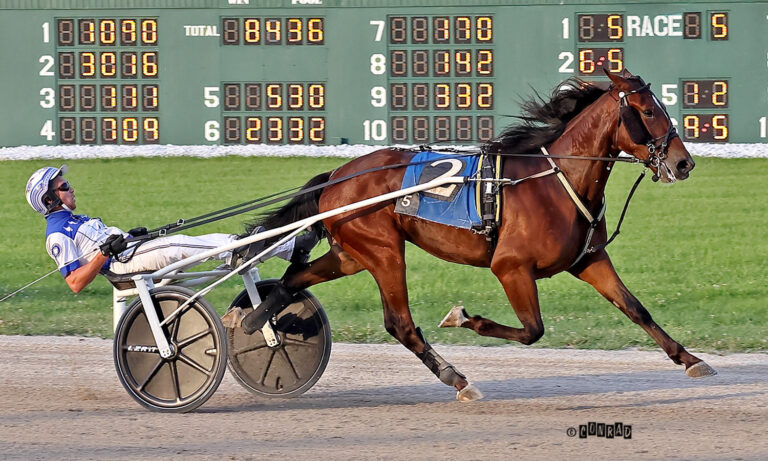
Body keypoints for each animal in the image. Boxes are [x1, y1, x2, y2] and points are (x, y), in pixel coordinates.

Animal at [245, 69, 716, 401]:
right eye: (649, 112)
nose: (684, 163)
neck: (556, 180)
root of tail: (337, 176)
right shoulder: (510, 267)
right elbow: (532, 330)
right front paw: (463, 317)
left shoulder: (588, 260)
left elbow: (636, 309)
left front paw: (691, 359)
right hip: (383, 252)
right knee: (401, 324)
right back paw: (457, 378)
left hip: (351, 253)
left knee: (293, 278)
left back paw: (255, 320)